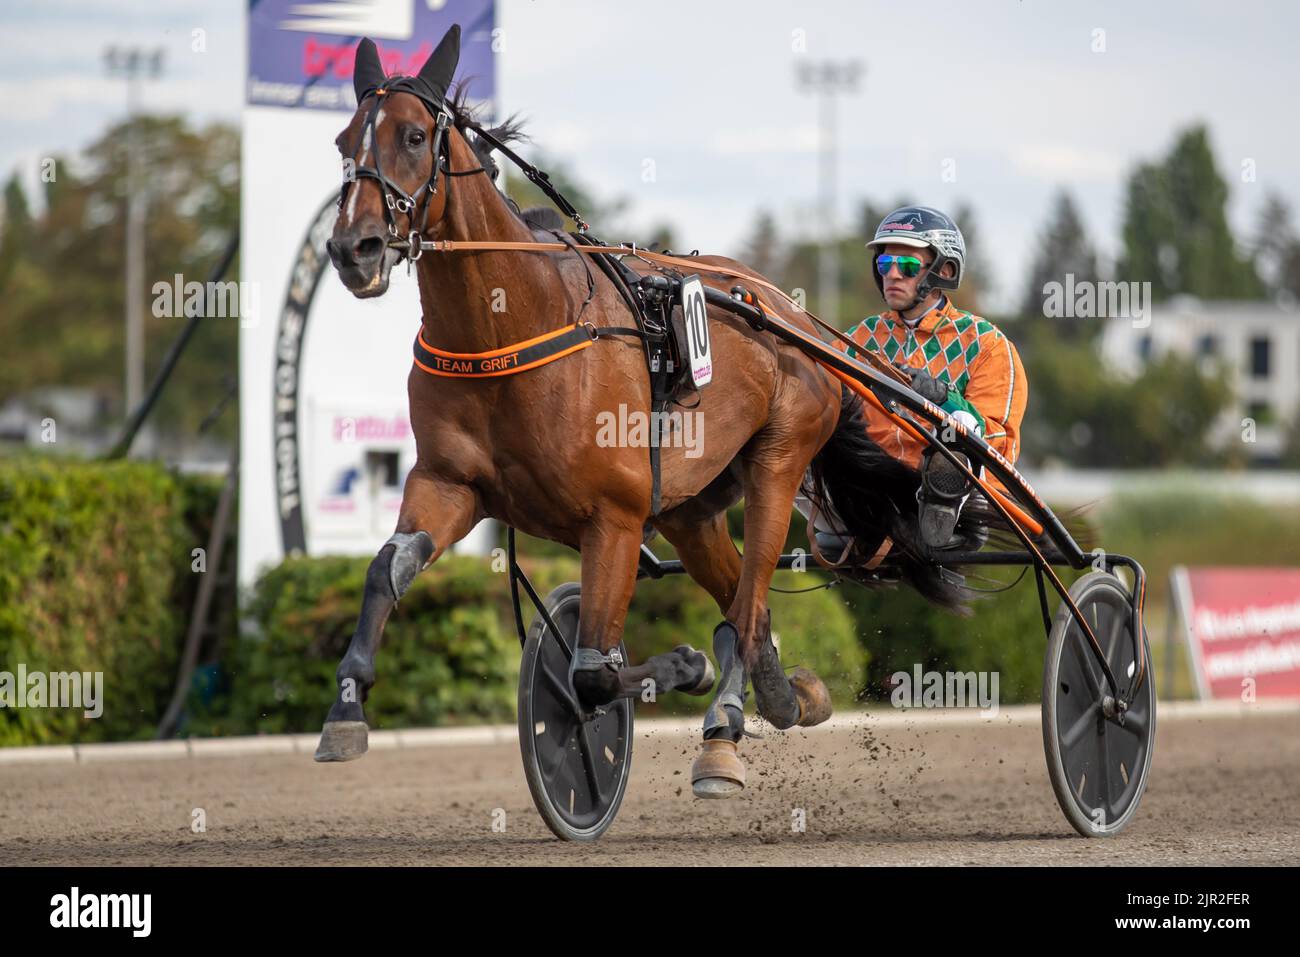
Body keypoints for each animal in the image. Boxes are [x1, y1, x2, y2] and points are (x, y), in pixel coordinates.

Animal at [313, 24, 945, 795]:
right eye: (344, 142)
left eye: (410, 135)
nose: (354, 248)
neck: (510, 326)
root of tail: (797, 319)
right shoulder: (448, 484)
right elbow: (384, 570)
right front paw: (346, 710)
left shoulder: (612, 516)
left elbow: (589, 673)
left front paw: (682, 666)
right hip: (690, 509)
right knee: (745, 604)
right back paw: (785, 696)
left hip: (779, 460)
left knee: (749, 601)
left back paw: (722, 731)